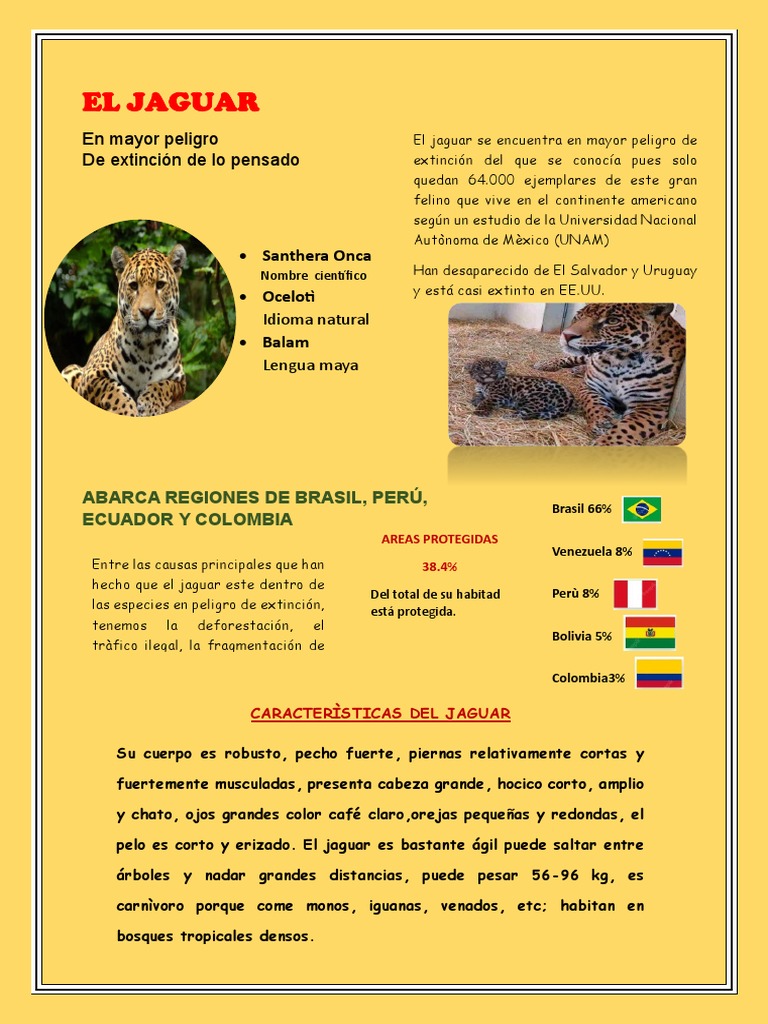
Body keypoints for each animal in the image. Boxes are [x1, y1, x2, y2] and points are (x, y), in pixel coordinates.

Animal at [62, 244, 187, 416]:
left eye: (160, 285)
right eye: (134, 285)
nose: (147, 311)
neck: (148, 350)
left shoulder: (180, 380)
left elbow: (163, 385)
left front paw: (149, 405)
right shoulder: (90, 377)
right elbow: (113, 391)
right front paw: (127, 412)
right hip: (71, 370)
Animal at [534, 303, 686, 445]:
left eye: (612, 321)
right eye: (579, 315)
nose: (566, 335)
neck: (620, 361)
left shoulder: (651, 405)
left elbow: (627, 428)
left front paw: (606, 444)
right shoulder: (590, 387)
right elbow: (593, 403)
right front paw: (603, 422)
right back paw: (546, 364)